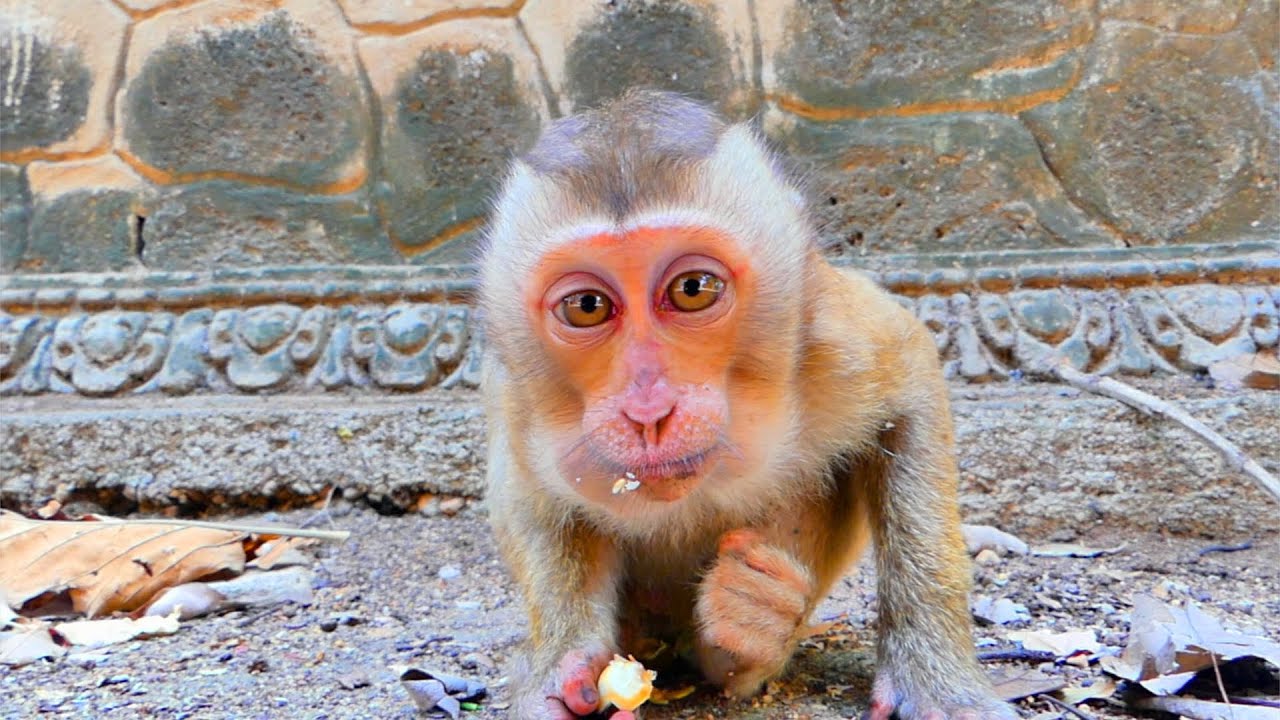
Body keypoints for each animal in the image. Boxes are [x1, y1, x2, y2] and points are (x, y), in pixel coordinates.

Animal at [477, 90, 1016, 720]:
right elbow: (531, 494)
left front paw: (935, 679)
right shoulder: (516, 396)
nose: (648, 409)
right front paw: (561, 661)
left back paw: (749, 637)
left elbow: (911, 389)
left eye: (692, 290)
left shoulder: (835, 345)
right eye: (587, 306)